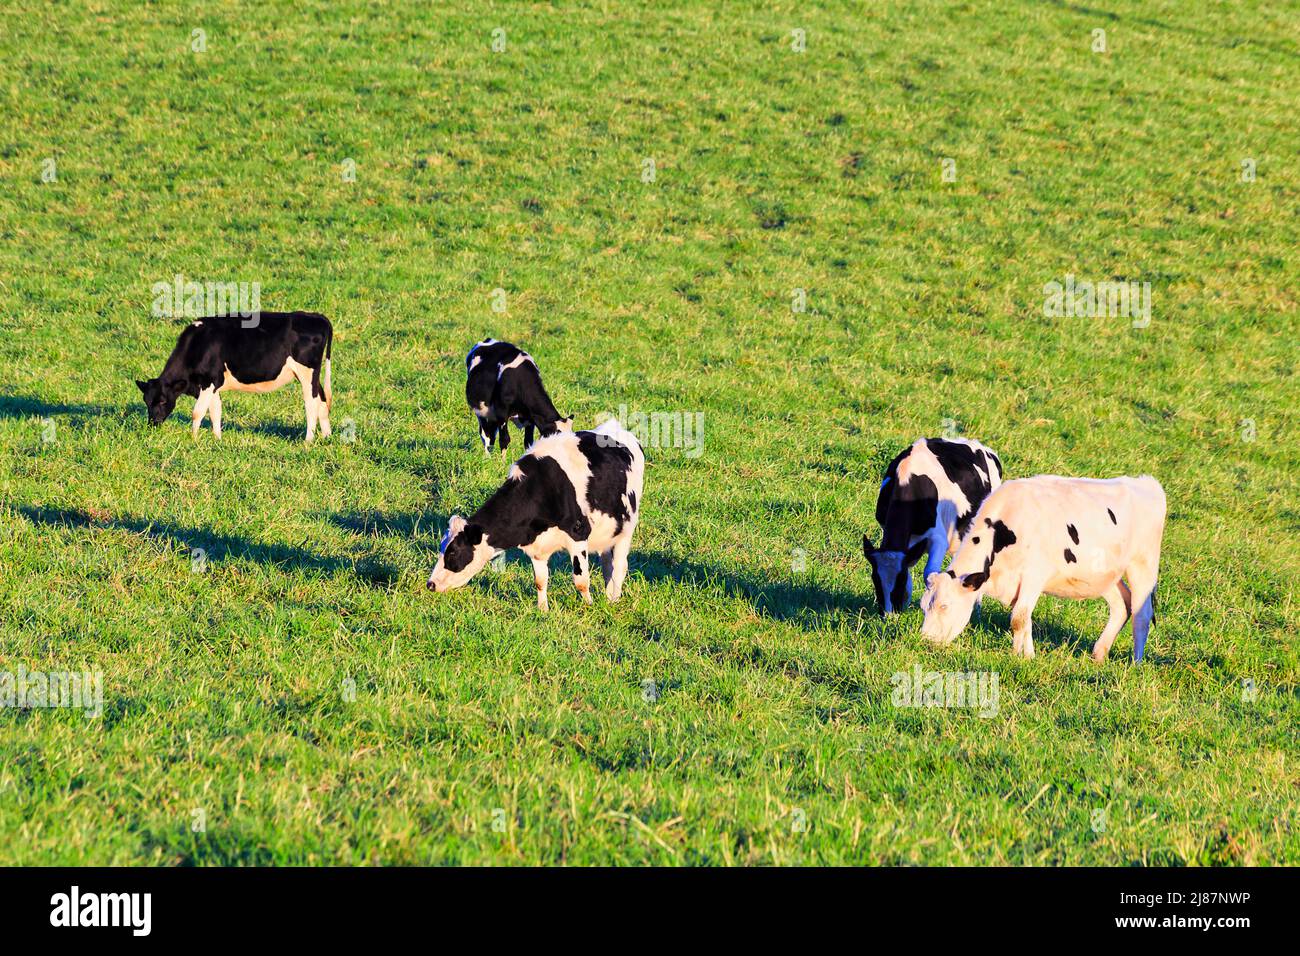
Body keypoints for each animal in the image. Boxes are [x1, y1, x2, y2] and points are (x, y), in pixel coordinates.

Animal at [136, 312, 333, 442]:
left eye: (162, 401)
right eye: (146, 401)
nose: (153, 424)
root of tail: (315, 316)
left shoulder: (208, 381)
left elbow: (197, 412)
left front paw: (194, 439)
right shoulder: (214, 384)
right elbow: (215, 411)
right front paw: (217, 439)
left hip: (306, 372)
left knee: (311, 403)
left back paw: (308, 440)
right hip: (312, 375)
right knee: (322, 399)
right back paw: (326, 437)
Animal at [427, 419, 644, 610]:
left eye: (453, 552)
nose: (430, 584)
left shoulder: (578, 535)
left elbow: (581, 580)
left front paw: (589, 606)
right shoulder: (536, 547)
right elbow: (540, 580)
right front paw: (543, 610)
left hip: (626, 528)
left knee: (619, 566)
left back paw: (614, 600)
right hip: (607, 533)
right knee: (607, 566)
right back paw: (608, 597)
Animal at [862, 437, 1003, 615]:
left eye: (900, 579)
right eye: (875, 579)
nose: (888, 614)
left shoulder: (939, 539)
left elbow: (928, 574)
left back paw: (976, 609)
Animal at [920, 475, 1166, 662]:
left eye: (944, 606)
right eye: (923, 606)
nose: (924, 640)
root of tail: (1147, 483)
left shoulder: (1034, 575)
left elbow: (1019, 618)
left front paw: (1026, 656)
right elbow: (1023, 619)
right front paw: (1020, 653)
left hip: (1143, 565)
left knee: (1142, 614)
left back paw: (1135, 663)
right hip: (1104, 575)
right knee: (1122, 606)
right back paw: (1099, 654)